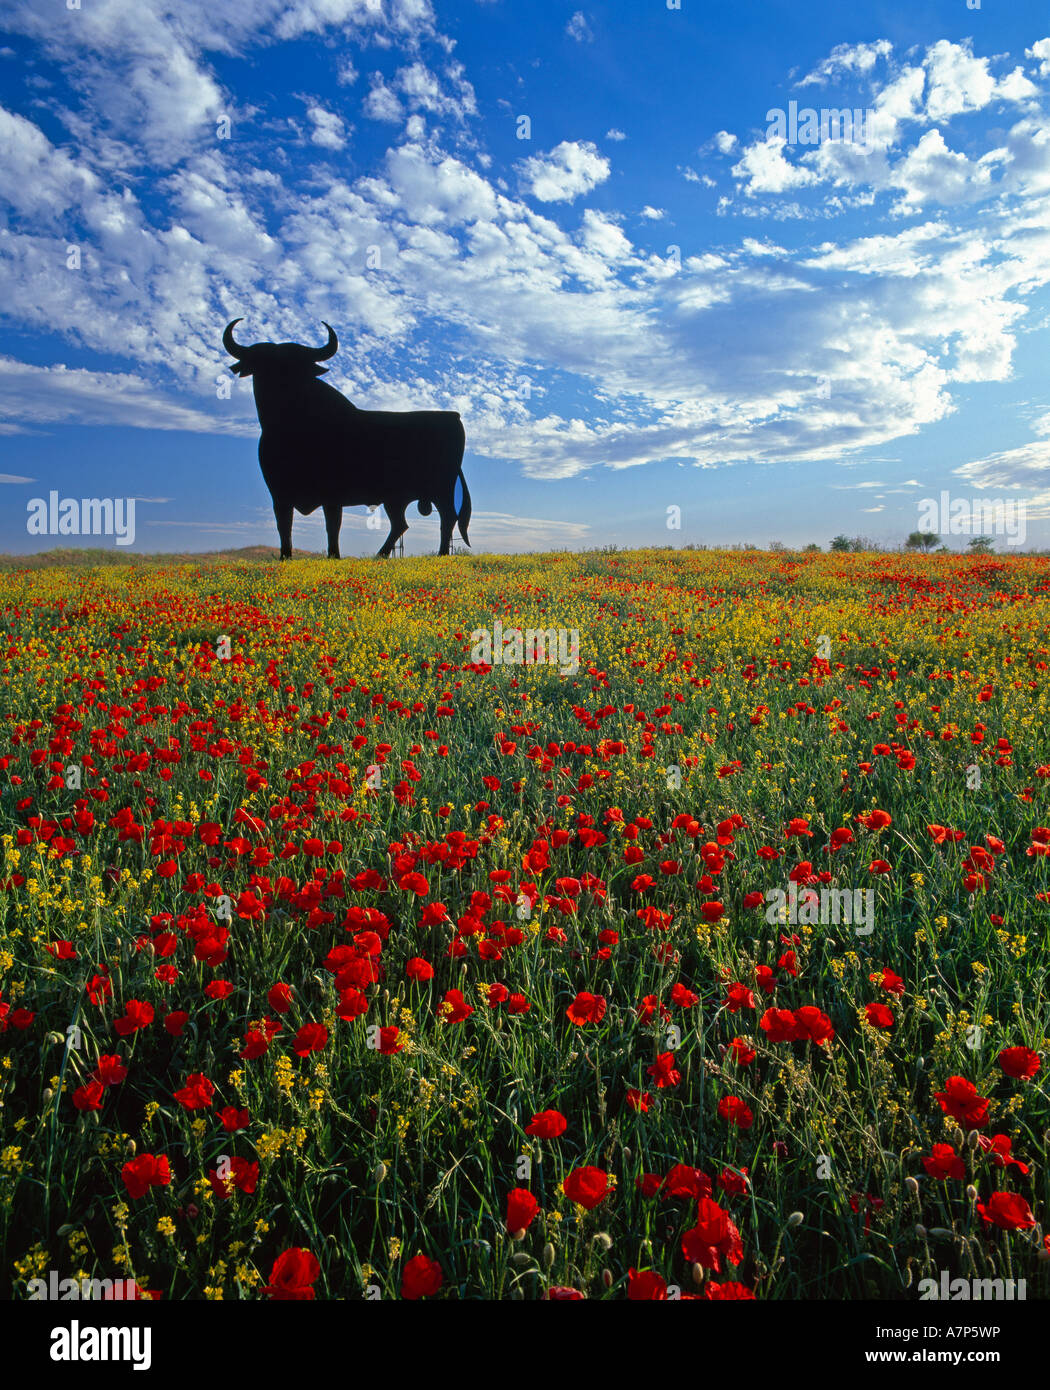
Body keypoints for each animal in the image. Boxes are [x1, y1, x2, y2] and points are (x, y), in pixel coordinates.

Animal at [222, 319, 471, 559]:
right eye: (263, 364)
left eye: (298, 366)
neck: (294, 427)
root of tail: (453, 416)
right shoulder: (279, 494)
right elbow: (284, 526)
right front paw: (285, 557)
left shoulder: (332, 494)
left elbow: (332, 525)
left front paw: (334, 556)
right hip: (396, 498)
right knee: (401, 524)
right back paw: (380, 555)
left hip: (441, 488)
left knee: (447, 517)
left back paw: (440, 554)